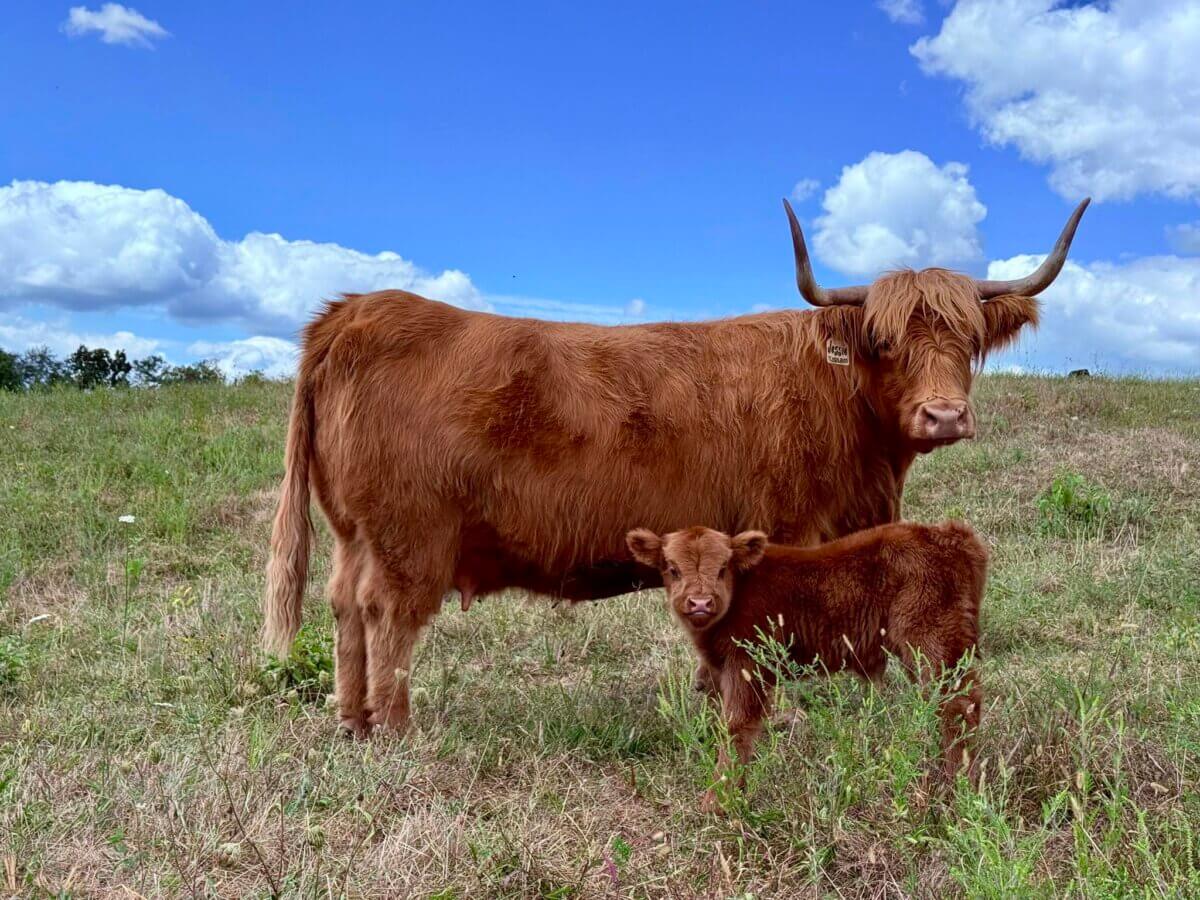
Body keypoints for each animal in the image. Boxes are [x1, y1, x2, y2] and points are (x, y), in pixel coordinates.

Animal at [262, 199, 1088, 737]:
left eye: (969, 338)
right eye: (884, 342)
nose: (943, 416)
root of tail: (355, 309)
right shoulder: (796, 528)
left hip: (356, 531)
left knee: (343, 606)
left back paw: (352, 722)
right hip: (410, 536)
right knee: (386, 615)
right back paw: (397, 731)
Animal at [625, 521, 987, 809]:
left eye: (723, 567)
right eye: (671, 568)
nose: (700, 603)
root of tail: (948, 534)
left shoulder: (748, 665)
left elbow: (737, 726)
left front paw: (719, 802)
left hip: (933, 642)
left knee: (958, 706)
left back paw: (959, 785)